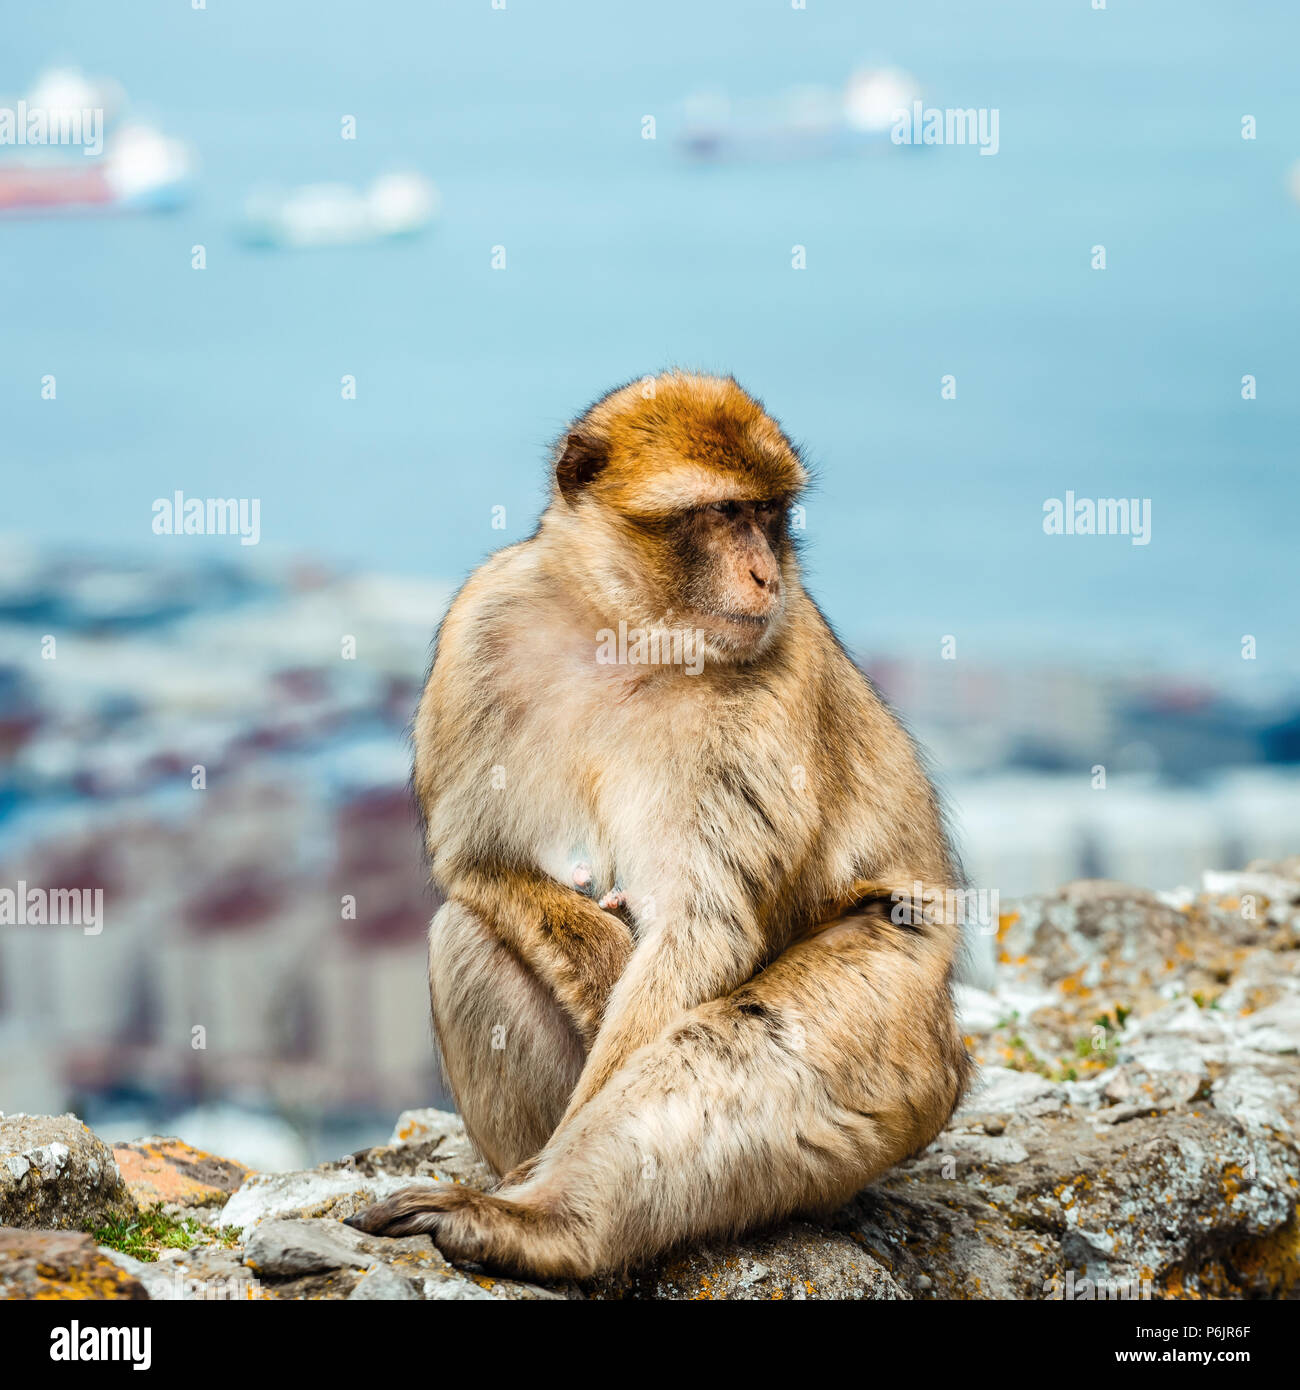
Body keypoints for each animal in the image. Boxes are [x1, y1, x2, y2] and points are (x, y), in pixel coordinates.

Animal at [347, 370, 971, 1279]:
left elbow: (698, 932)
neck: (631, 634)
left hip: (904, 1033)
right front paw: (602, 953)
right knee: (466, 931)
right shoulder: (483, 628)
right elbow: (479, 862)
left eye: (770, 515)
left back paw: (544, 1221)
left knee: (733, 1043)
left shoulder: (766, 694)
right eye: (723, 513)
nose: (765, 575)